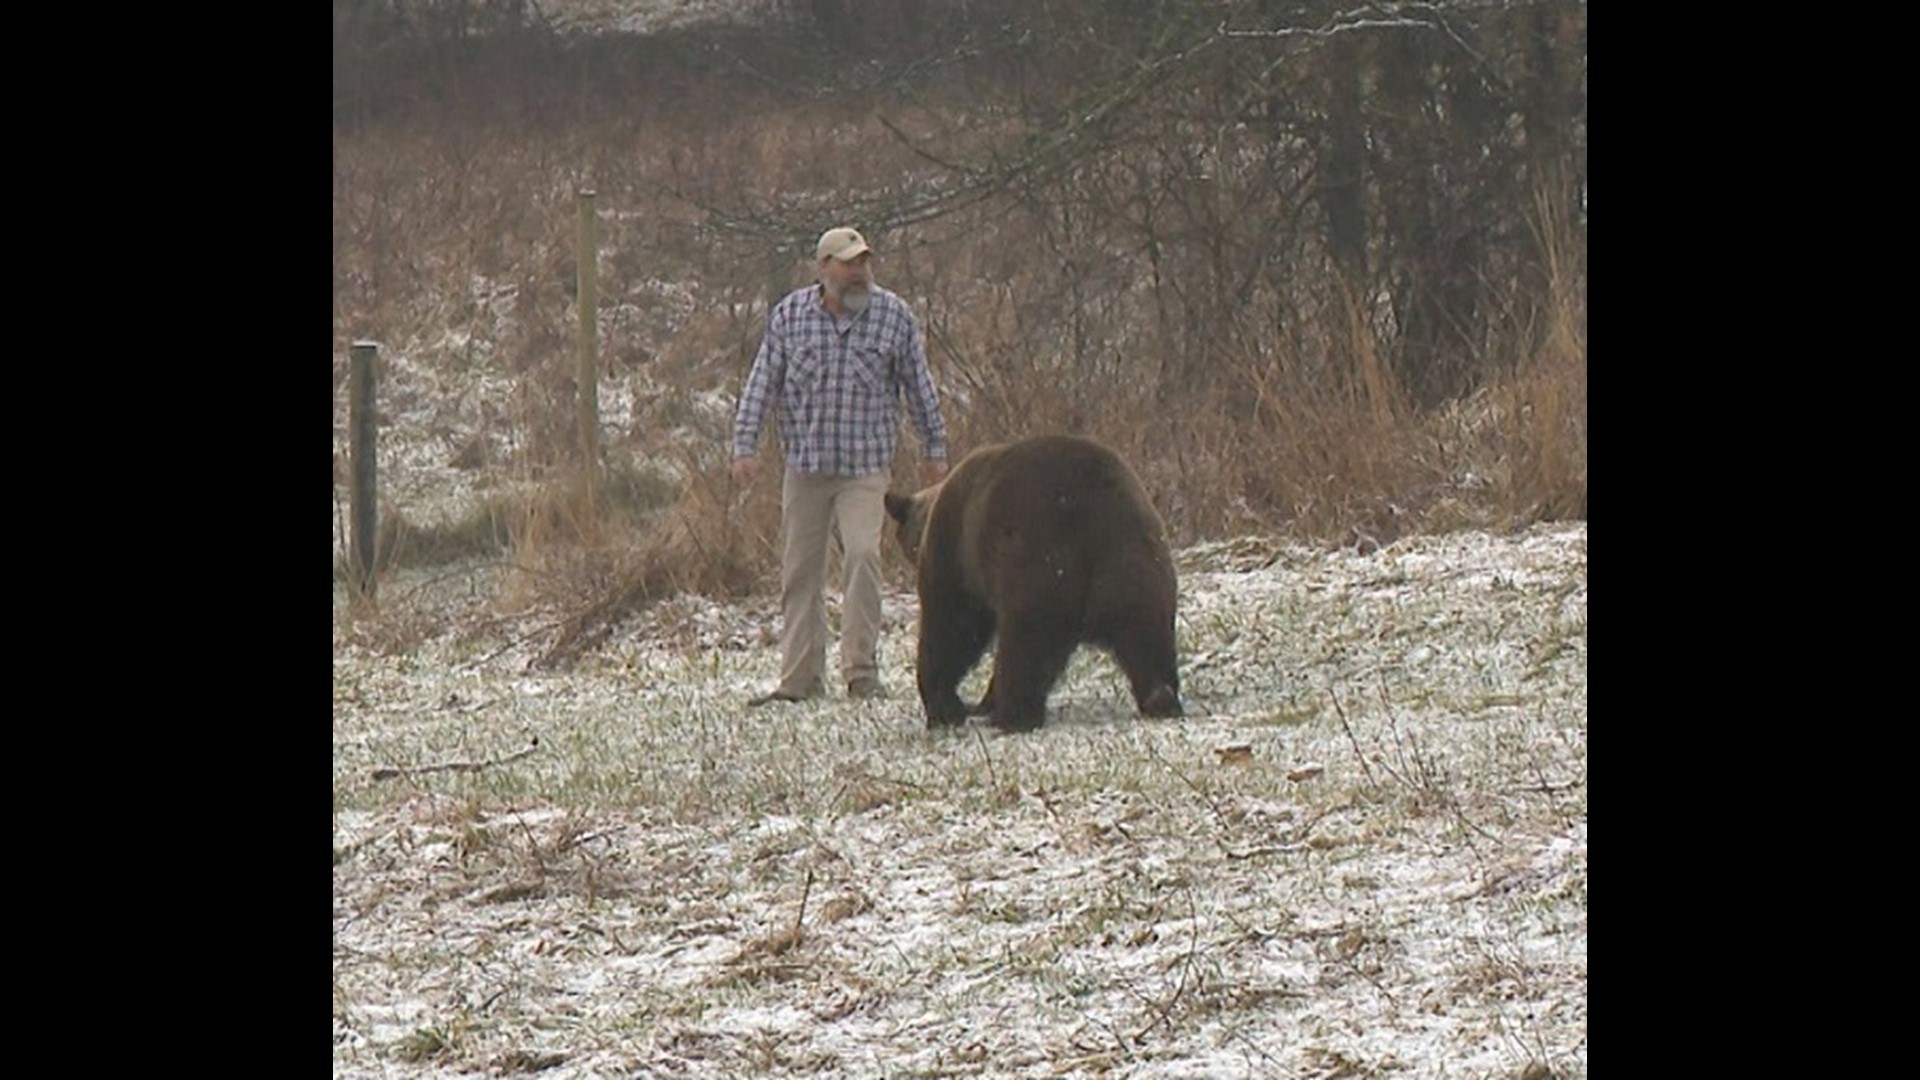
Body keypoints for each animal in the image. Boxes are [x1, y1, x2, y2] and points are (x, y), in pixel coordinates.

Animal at [883, 433, 1184, 732]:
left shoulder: (955, 553)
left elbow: (952, 627)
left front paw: (945, 707)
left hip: (1038, 561)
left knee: (1026, 645)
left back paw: (1012, 715)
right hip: (1137, 562)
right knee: (1145, 634)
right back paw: (1161, 697)